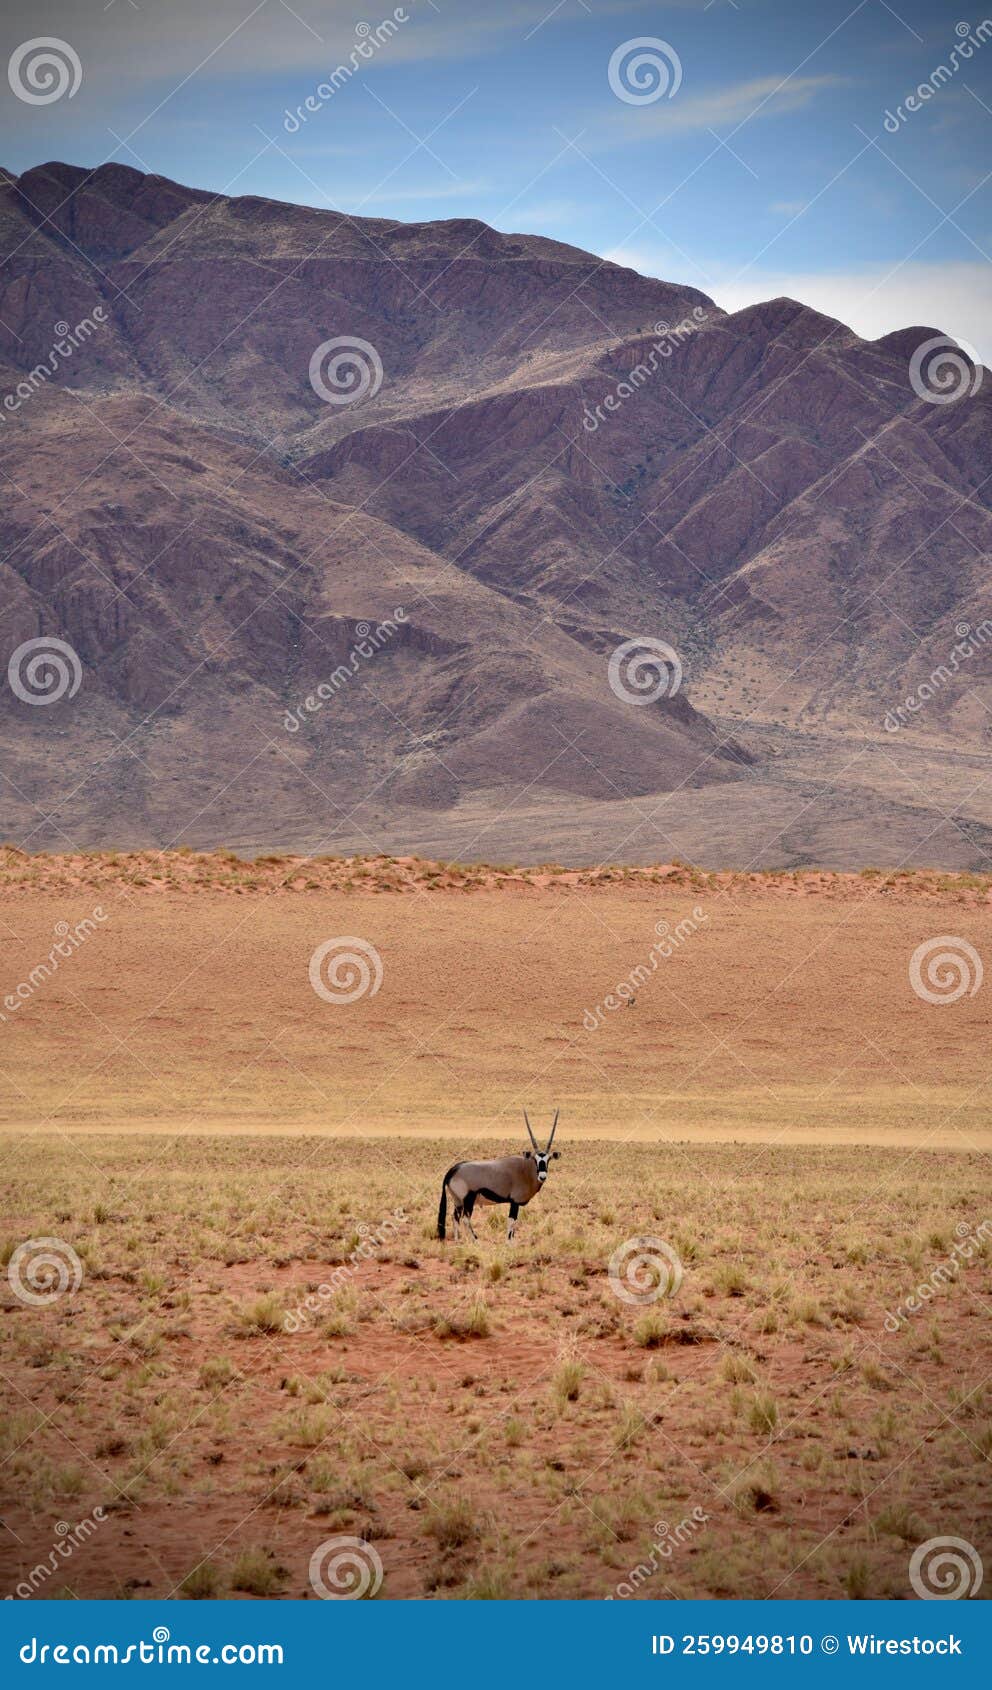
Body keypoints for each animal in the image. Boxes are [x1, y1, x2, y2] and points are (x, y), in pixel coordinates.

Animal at [437, 1111, 560, 1243]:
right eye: (535, 1159)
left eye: (548, 1159)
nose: (542, 1176)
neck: (525, 1170)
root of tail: (453, 1169)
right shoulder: (514, 1202)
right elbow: (511, 1222)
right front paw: (509, 1243)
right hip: (468, 1200)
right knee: (465, 1219)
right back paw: (476, 1240)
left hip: (458, 1201)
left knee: (455, 1217)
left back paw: (457, 1241)